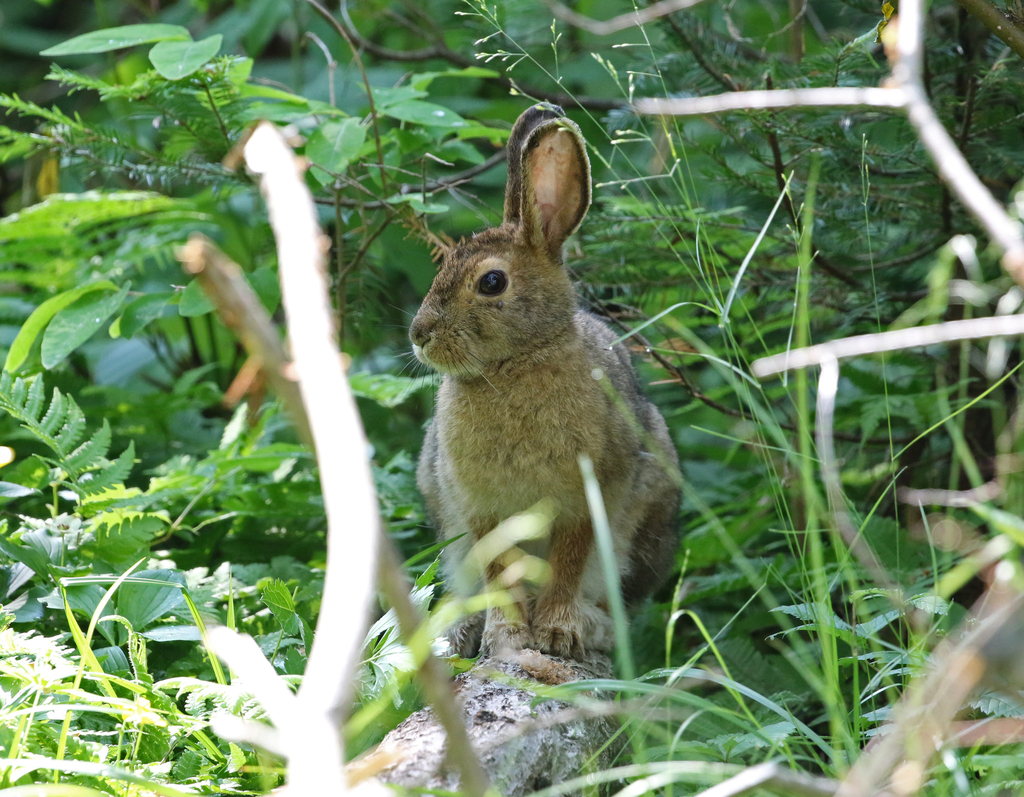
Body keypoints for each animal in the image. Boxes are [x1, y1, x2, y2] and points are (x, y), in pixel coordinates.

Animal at [409, 102, 681, 660]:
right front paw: (508, 637)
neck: (518, 363)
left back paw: (594, 629)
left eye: (492, 282)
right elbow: (500, 573)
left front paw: (558, 634)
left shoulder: (583, 502)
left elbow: (567, 566)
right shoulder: (483, 512)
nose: (418, 335)